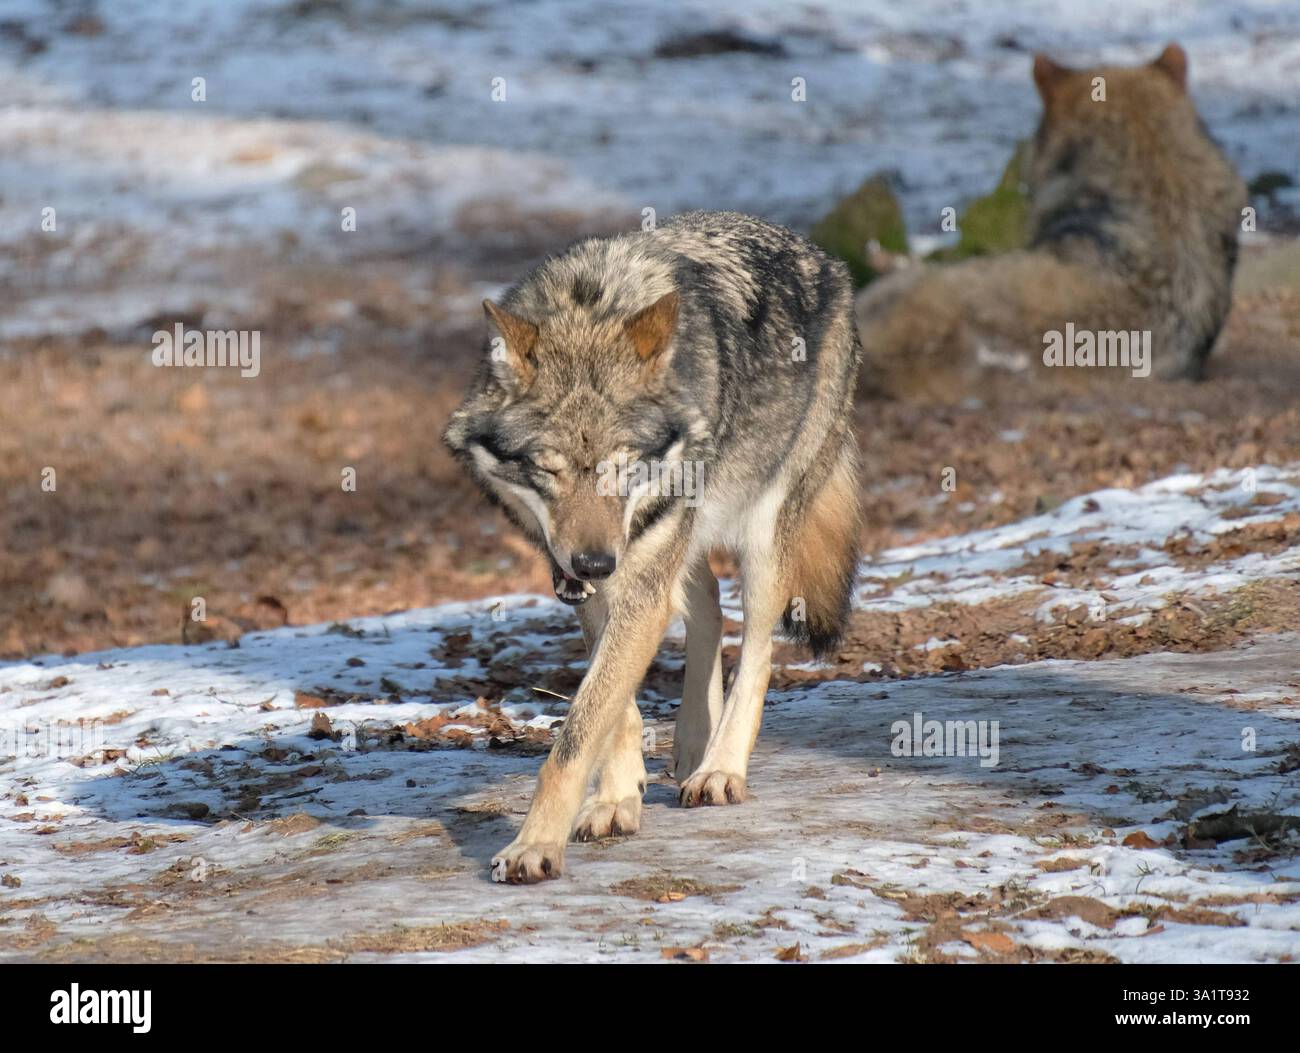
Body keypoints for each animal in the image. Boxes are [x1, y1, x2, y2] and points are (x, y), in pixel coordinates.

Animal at [445, 211, 863, 883]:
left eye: (622, 467)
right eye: (548, 469)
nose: (593, 562)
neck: (590, 303)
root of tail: (825, 258)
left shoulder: (635, 582)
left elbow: (576, 735)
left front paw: (534, 845)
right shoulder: (600, 587)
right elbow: (612, 710)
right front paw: (616, 798)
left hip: (763, 534)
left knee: (757, 649)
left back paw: (720, 767)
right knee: (709, 602)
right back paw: (693, 740)